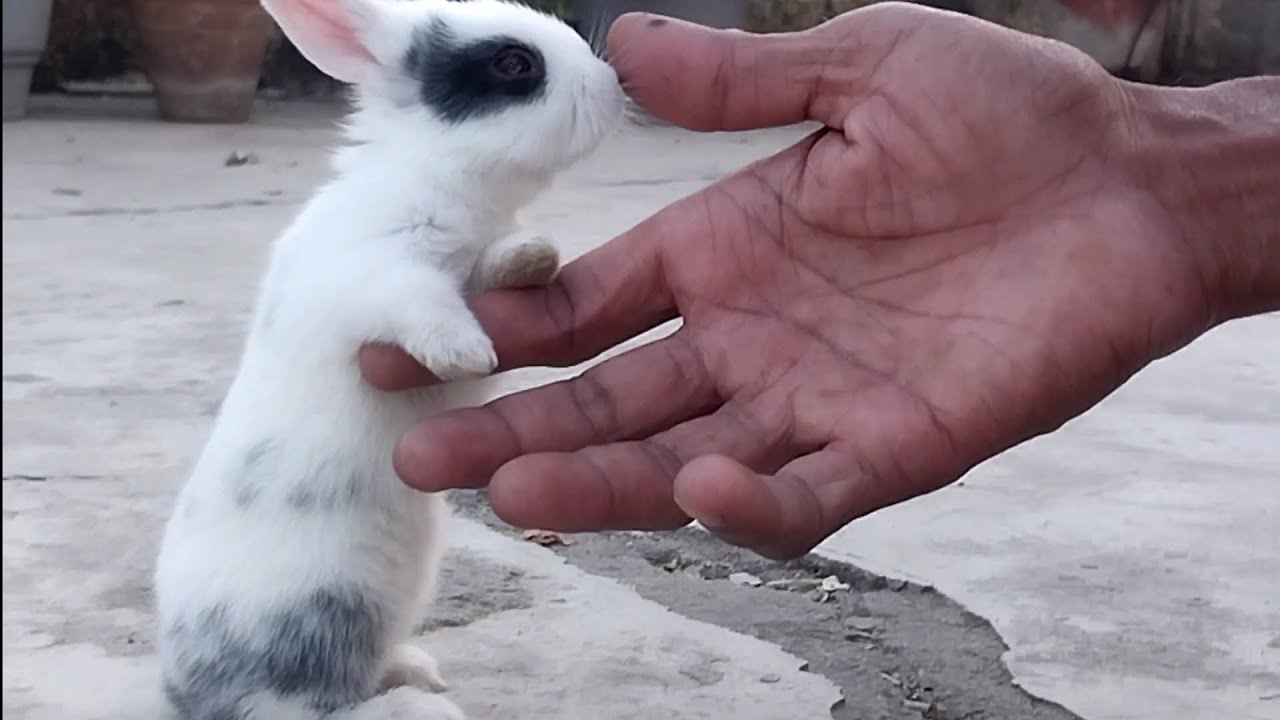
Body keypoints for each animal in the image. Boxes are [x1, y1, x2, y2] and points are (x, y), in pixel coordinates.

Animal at [152, 1, 627, 719]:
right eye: (514, 63)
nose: (613, 87)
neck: (439, 183)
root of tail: (192, 695)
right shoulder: (369, 275)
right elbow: (418, 298)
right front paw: (463, 350)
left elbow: (492, 270)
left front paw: (531, 257)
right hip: (325, 615)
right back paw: (423, 706)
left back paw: (418, 672)